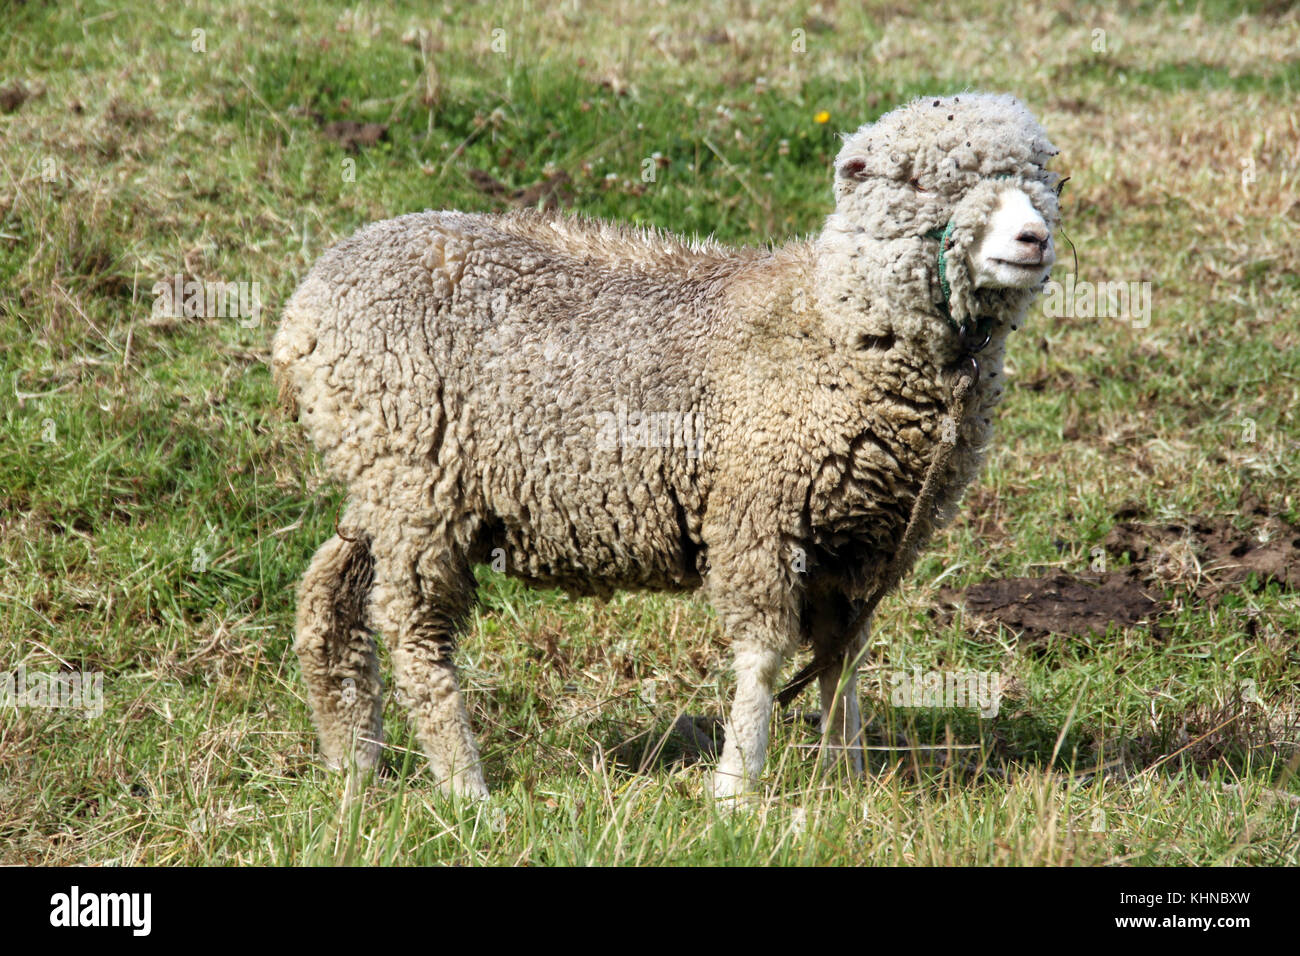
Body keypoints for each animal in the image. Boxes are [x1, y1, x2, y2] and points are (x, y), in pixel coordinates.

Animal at [272, 92, 1062, 800]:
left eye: (1045, 181)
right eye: (924, 183)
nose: (1033, 239)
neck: (829, 326)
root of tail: (304, 307)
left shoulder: (861, 544)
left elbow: (842, 660)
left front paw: (850, 779)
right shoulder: (758, 517)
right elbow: (763, 655)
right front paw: (736, 788)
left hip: (382, 477)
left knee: (328, 591)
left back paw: (354, 765)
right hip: (415, 482)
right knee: (412, 632)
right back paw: (467, 790)